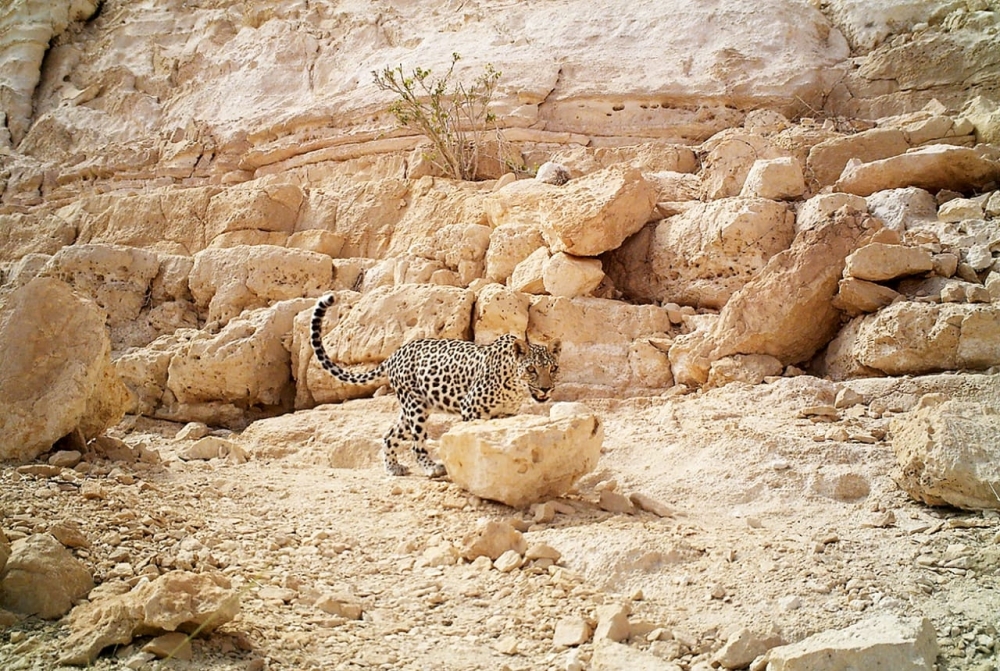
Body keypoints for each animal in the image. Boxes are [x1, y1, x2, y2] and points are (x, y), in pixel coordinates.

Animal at [310, 293, 560, 477]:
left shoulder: (506, 415)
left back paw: (393, 467)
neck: (514, 386)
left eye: (553, 369)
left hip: (413, 407)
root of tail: (395, 354)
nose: (546, 389)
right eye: (531, 369)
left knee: (390, 434)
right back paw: (431, 468)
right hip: (415, 407)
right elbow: (470, 437)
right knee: (416, 443)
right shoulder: (471, 409)